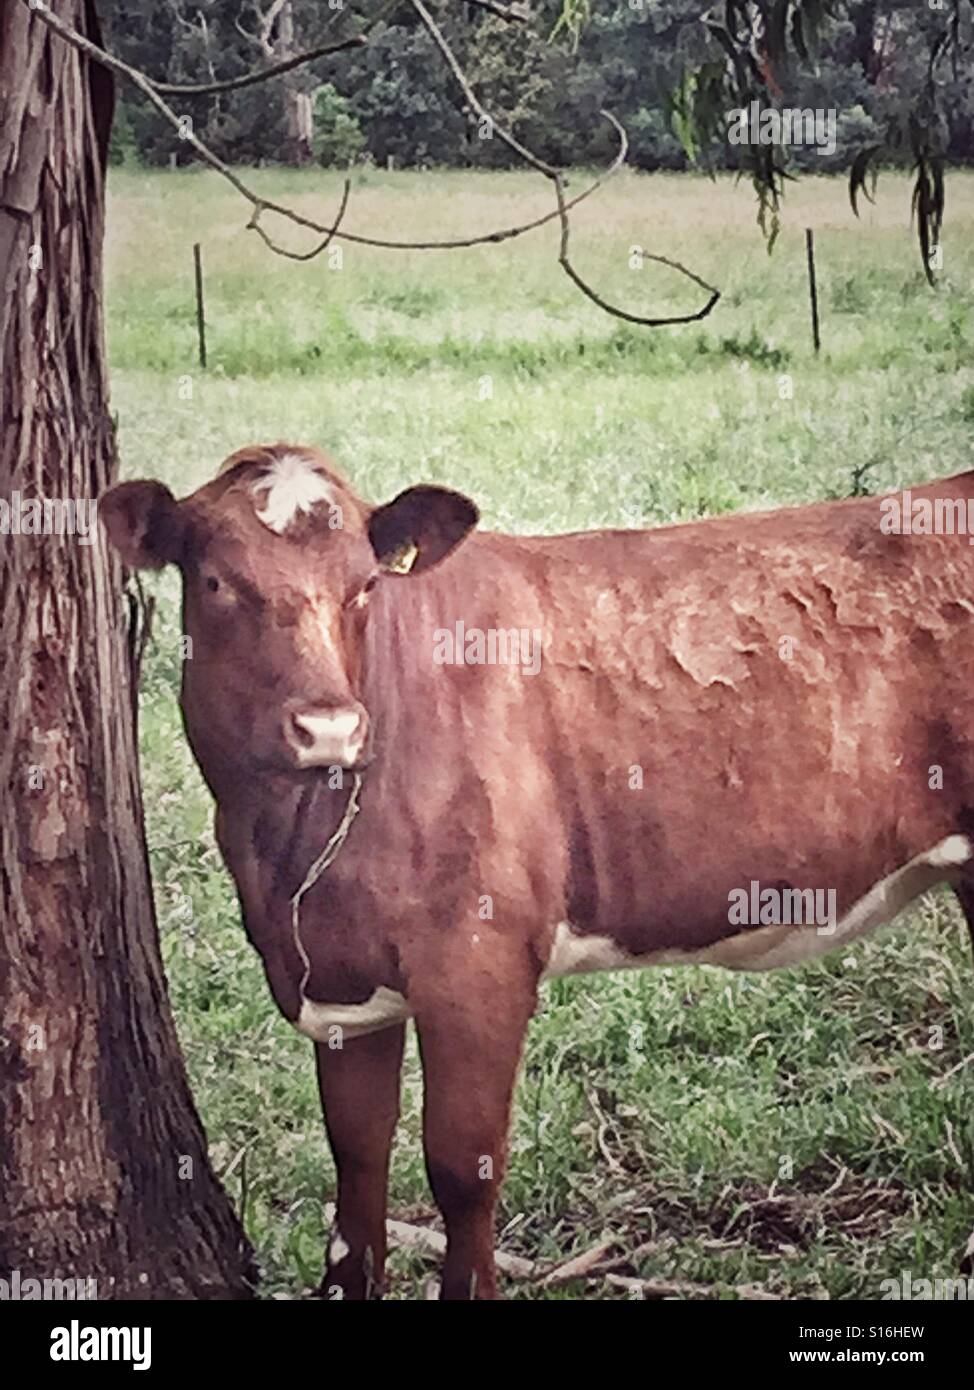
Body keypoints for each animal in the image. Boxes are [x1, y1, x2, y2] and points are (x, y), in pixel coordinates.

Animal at [101, 444, 974, 1299]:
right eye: (218, 582)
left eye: (366, 585)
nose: (330, 726)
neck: (282, 857)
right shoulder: (347, 990)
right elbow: (357, 1166)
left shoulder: (478, 968)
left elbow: (462, 1168)